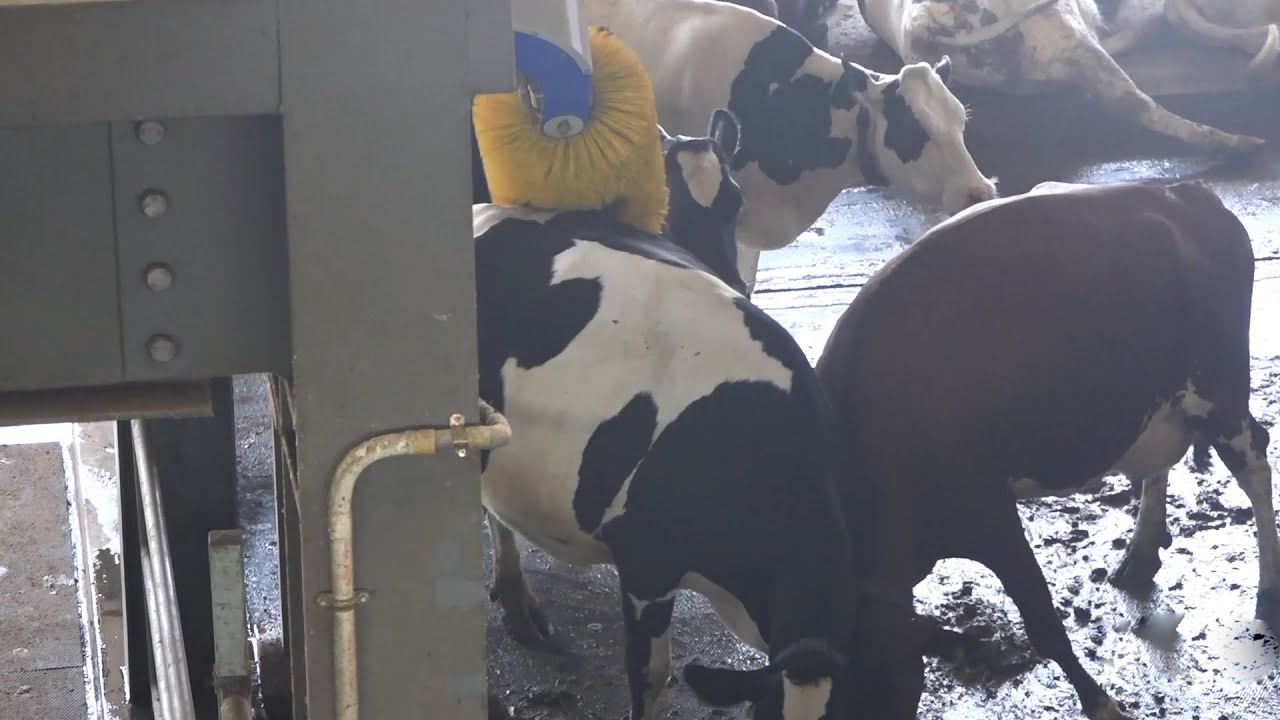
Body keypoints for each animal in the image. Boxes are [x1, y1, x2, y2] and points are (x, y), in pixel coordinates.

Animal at [814, 178, 1277, 720]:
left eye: (869, 697)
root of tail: (1180, 190)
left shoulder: (987, 510)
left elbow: (1043, 622)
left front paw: (1102, 703)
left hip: (1222, 387)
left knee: (1254, 464)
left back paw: (1268, 589)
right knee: (1159, 462)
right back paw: (1140, 556)